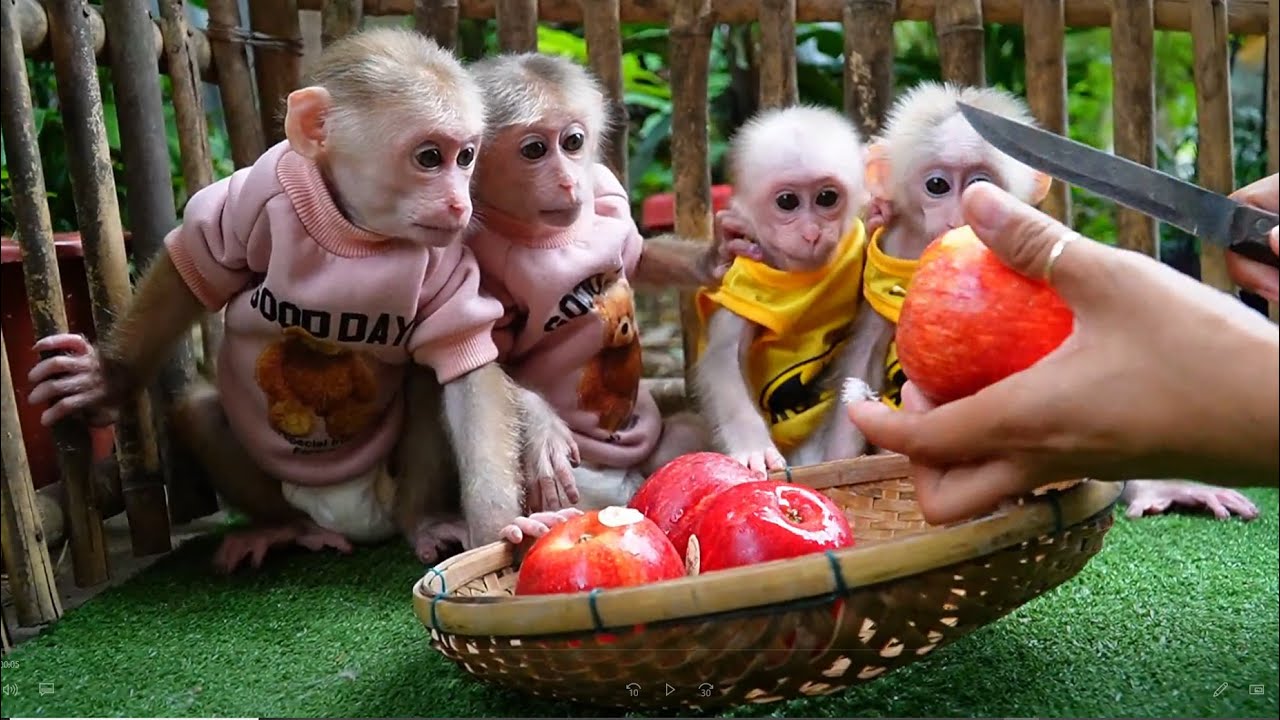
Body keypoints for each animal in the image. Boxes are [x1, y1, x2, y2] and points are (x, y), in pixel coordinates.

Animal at [25, 27, 527, 572]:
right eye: (430, 157)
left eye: (467, 157)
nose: (459, 203)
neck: (355, 230)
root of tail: (355, 518)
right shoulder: (258, 191)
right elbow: (191, 266)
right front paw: (105, 380)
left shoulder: (448, 261)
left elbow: (463, 361)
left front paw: (497, 529)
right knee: (197, 408)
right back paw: (287, 527)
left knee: (427, 379)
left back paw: (423, 520)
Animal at [455, 52, 733, 544]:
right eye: (534, 150)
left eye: (573, 142)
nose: (568, 181)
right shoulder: (480, 261)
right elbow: (488, 355)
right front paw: (542, 425)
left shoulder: (607, 188)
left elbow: (637, 255)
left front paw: (713, 259)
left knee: (683, 432)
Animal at [688, 105, 873, 475]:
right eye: (787, 202)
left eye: (826, 197)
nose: (812, 232)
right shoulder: (742, 282)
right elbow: (722, 357)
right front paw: (753, 446)